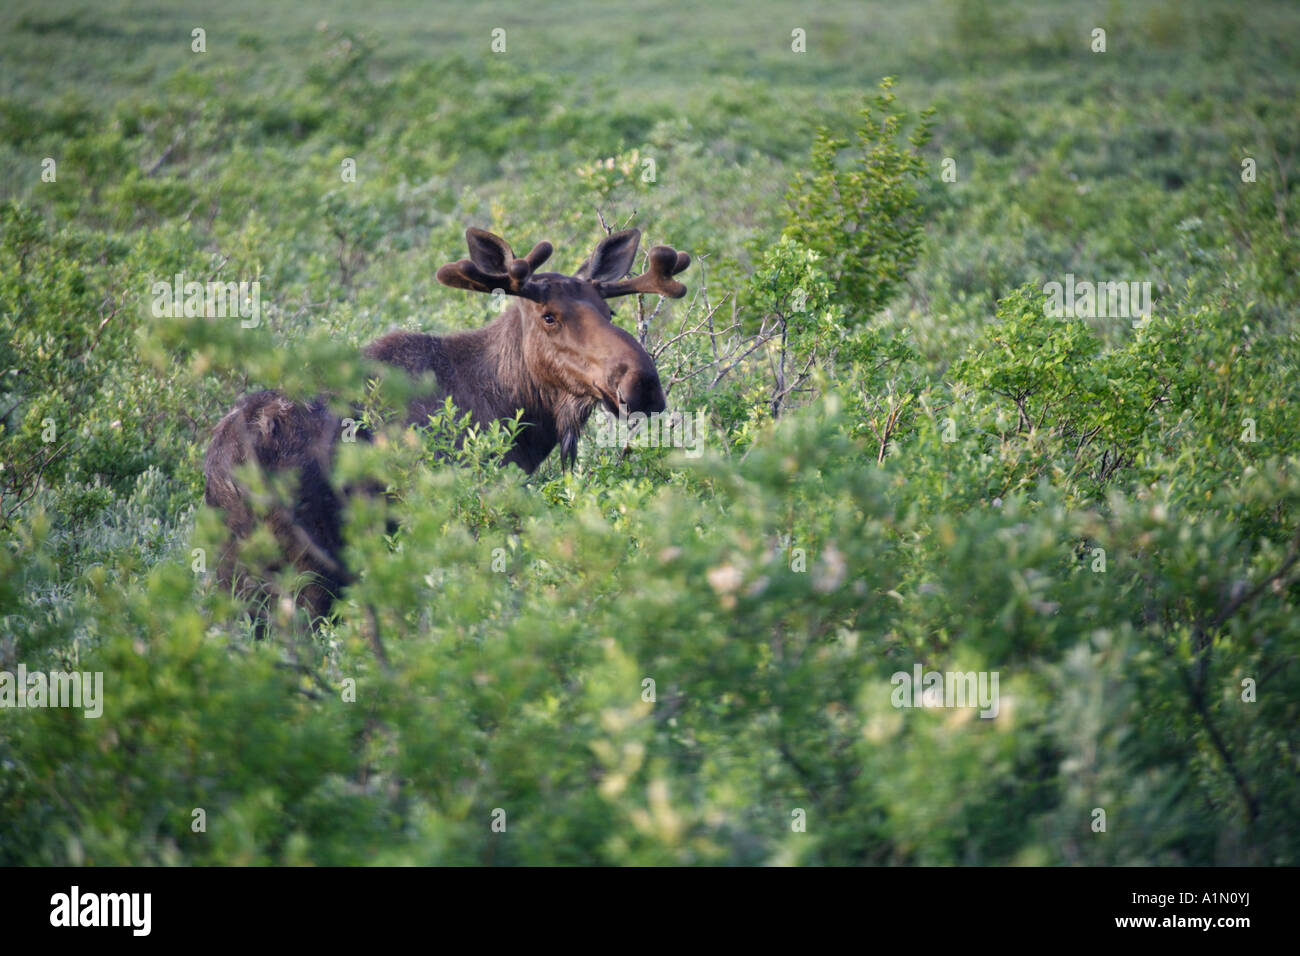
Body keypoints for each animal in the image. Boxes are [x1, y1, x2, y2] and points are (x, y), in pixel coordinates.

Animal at [203, 226, 691, 632]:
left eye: (608, 311)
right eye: (549, 316)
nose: (643, 383)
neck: (516, 408)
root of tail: (230, 469)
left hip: (232, 573)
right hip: (311, 566)